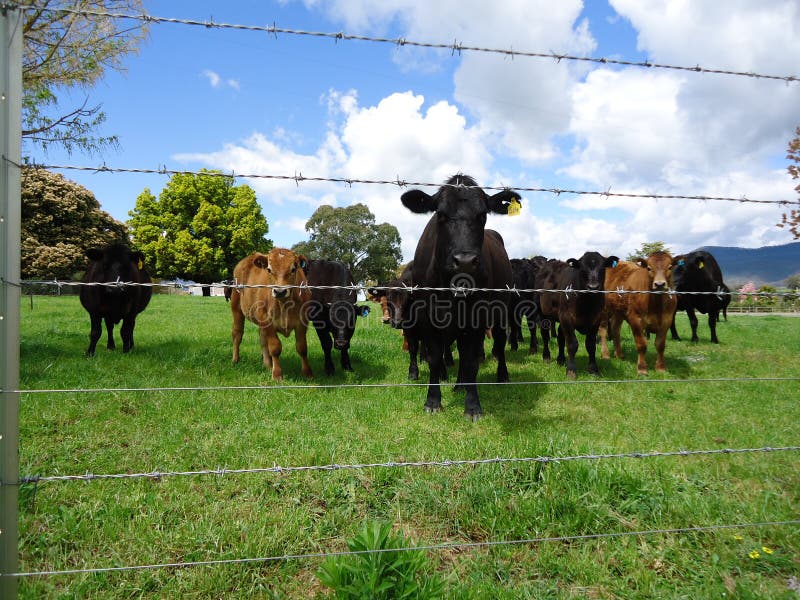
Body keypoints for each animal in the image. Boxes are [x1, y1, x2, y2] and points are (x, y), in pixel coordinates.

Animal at [229, 248, 312, 381]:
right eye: (269, 269)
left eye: (293, 269)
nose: (280, 291)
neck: (284, 305)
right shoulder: (267, 320)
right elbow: (275, 347)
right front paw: (277, 374)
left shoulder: (302, 322)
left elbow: (302, 347)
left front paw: (307, 373)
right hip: (236, 308)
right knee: (237, 334)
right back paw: (235, 360)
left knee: (262, 339)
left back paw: (267, 365)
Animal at [401, 174, 520, 419]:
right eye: (441, 215)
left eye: (483, 215)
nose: (464, 261)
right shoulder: (427, 318)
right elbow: (435, 359)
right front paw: (433, 401)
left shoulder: (478, 318)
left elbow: (472, 361)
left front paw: (473, 406)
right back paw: (459, 385)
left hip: (501, 311)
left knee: (499, 341)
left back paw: (500, 376)